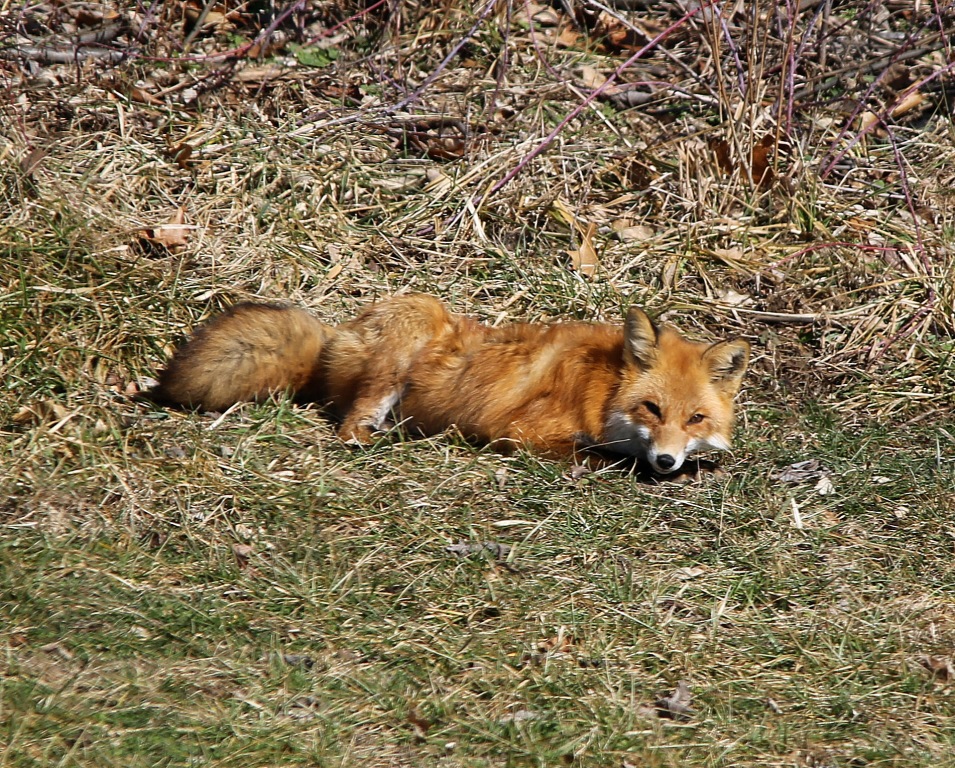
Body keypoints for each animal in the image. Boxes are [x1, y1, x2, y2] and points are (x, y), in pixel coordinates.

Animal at [151, 294, 750, 474]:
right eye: (652, 409)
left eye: (695, 418)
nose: (667, 461)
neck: (600, 390)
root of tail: (340, 331)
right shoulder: (523, 432)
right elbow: (602, 459)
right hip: (409, 333)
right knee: (350, 428)